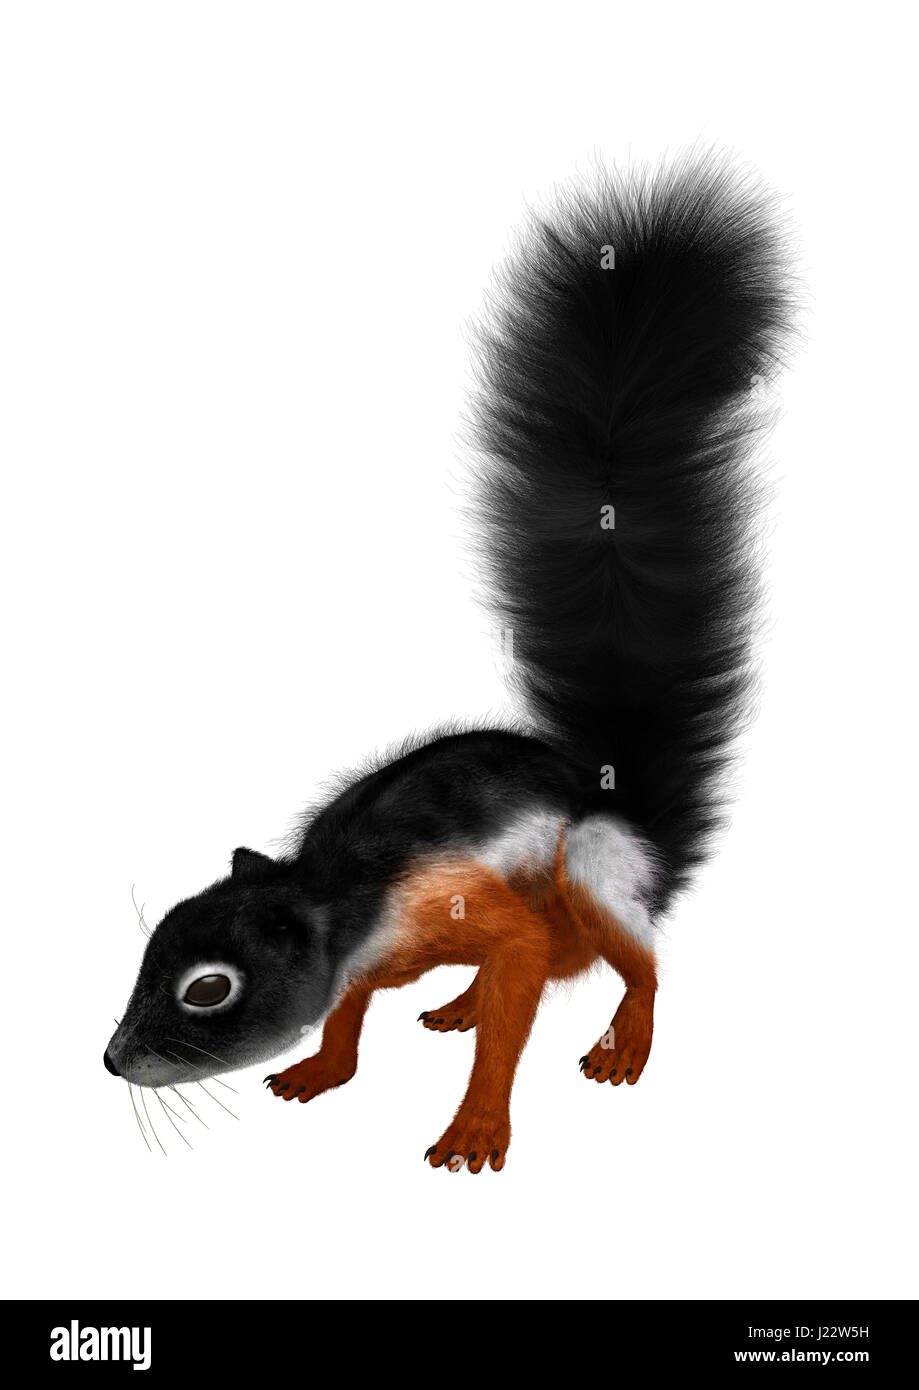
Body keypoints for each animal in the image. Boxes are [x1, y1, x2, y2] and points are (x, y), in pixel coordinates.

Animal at [105, 153, 793, 1173]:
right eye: (149, 954)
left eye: (208, 989)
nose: (114, 1060)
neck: (341, 900)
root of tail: (634, 821)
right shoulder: (371, 959)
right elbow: (350, 1010)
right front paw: (323, 1067)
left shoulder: (467, 904)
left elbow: (515, 991)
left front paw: (476, 1126)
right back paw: (460, 1004)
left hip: (593, 868)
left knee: (626, 963)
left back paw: (623, 1036)